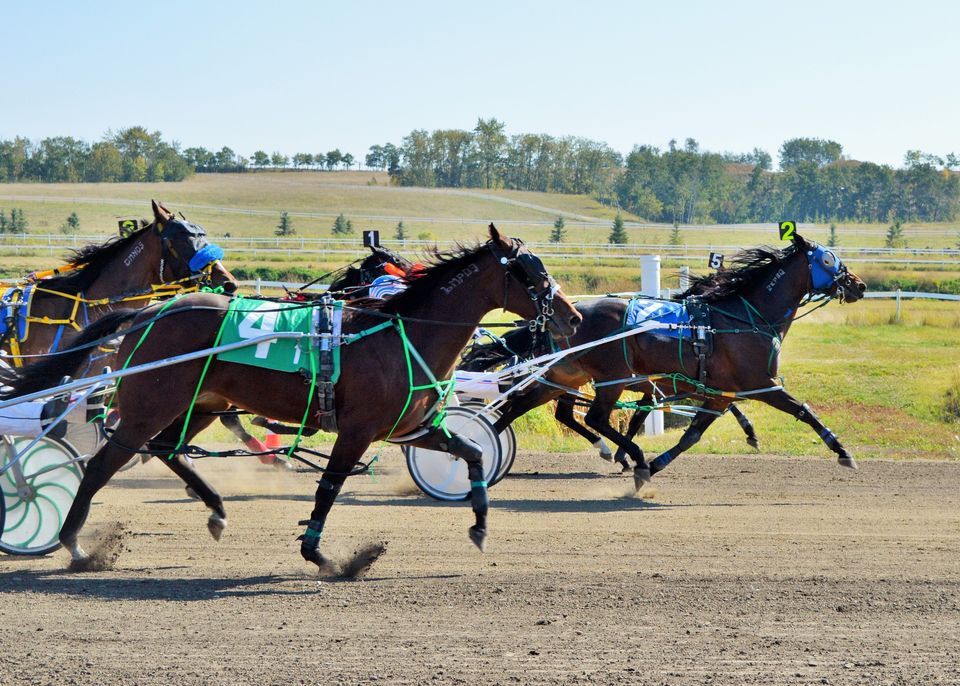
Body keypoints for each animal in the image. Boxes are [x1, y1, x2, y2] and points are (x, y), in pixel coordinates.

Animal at [1, 225, 582, 569]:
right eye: (530, 272)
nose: (574, 317)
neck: (399, 334)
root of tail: (147, 313)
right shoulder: (356, 431)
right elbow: (328, 489)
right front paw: (324, 556)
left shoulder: (415, 427)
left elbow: (476, 452)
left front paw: (480, 525)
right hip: (150, 405)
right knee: (103, 465)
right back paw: (72, 541)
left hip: (202, 405)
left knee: (165, 450)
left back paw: (215, 509)